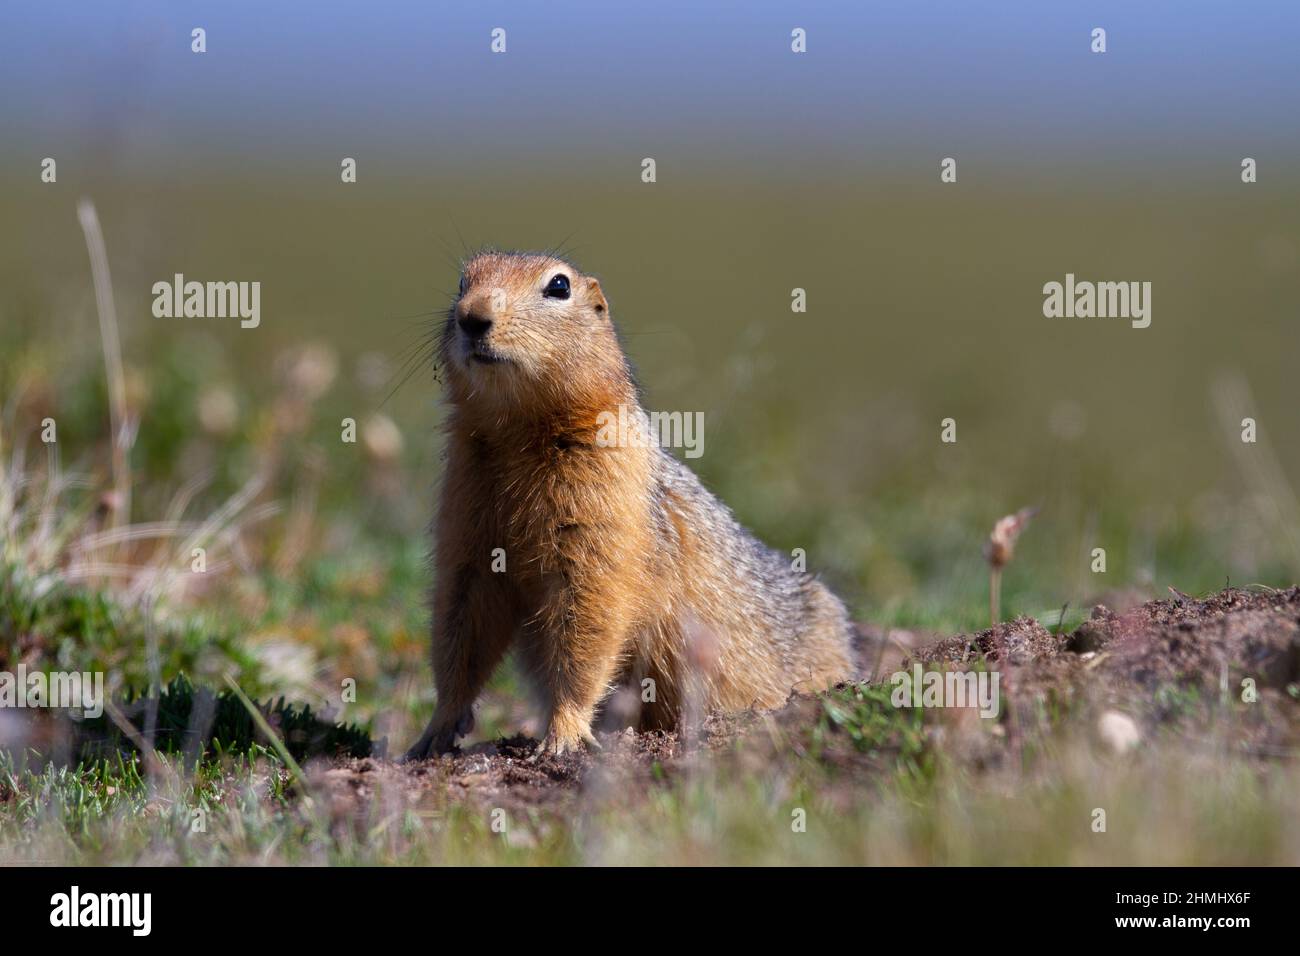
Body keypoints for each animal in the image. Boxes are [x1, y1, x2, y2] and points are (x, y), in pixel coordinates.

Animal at [404, 252, 855, 759]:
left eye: (558, 286)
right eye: (464, 281)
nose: (472, 315)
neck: (517, 433)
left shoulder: (603, 505)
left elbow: (588, 619)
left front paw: (562, 736)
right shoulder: (465, 514)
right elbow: (461, 617)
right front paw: (434, 731)